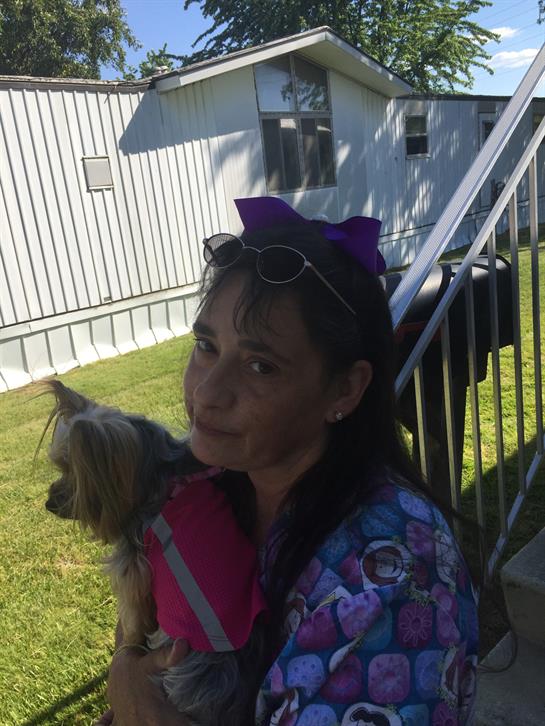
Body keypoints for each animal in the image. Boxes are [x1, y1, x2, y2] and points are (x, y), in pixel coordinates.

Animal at [41, 379, 268, 726]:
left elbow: (133, 614)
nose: (49, 503)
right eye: (60, 466)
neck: (160, 472)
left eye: (74, 472)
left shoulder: (132, 569)